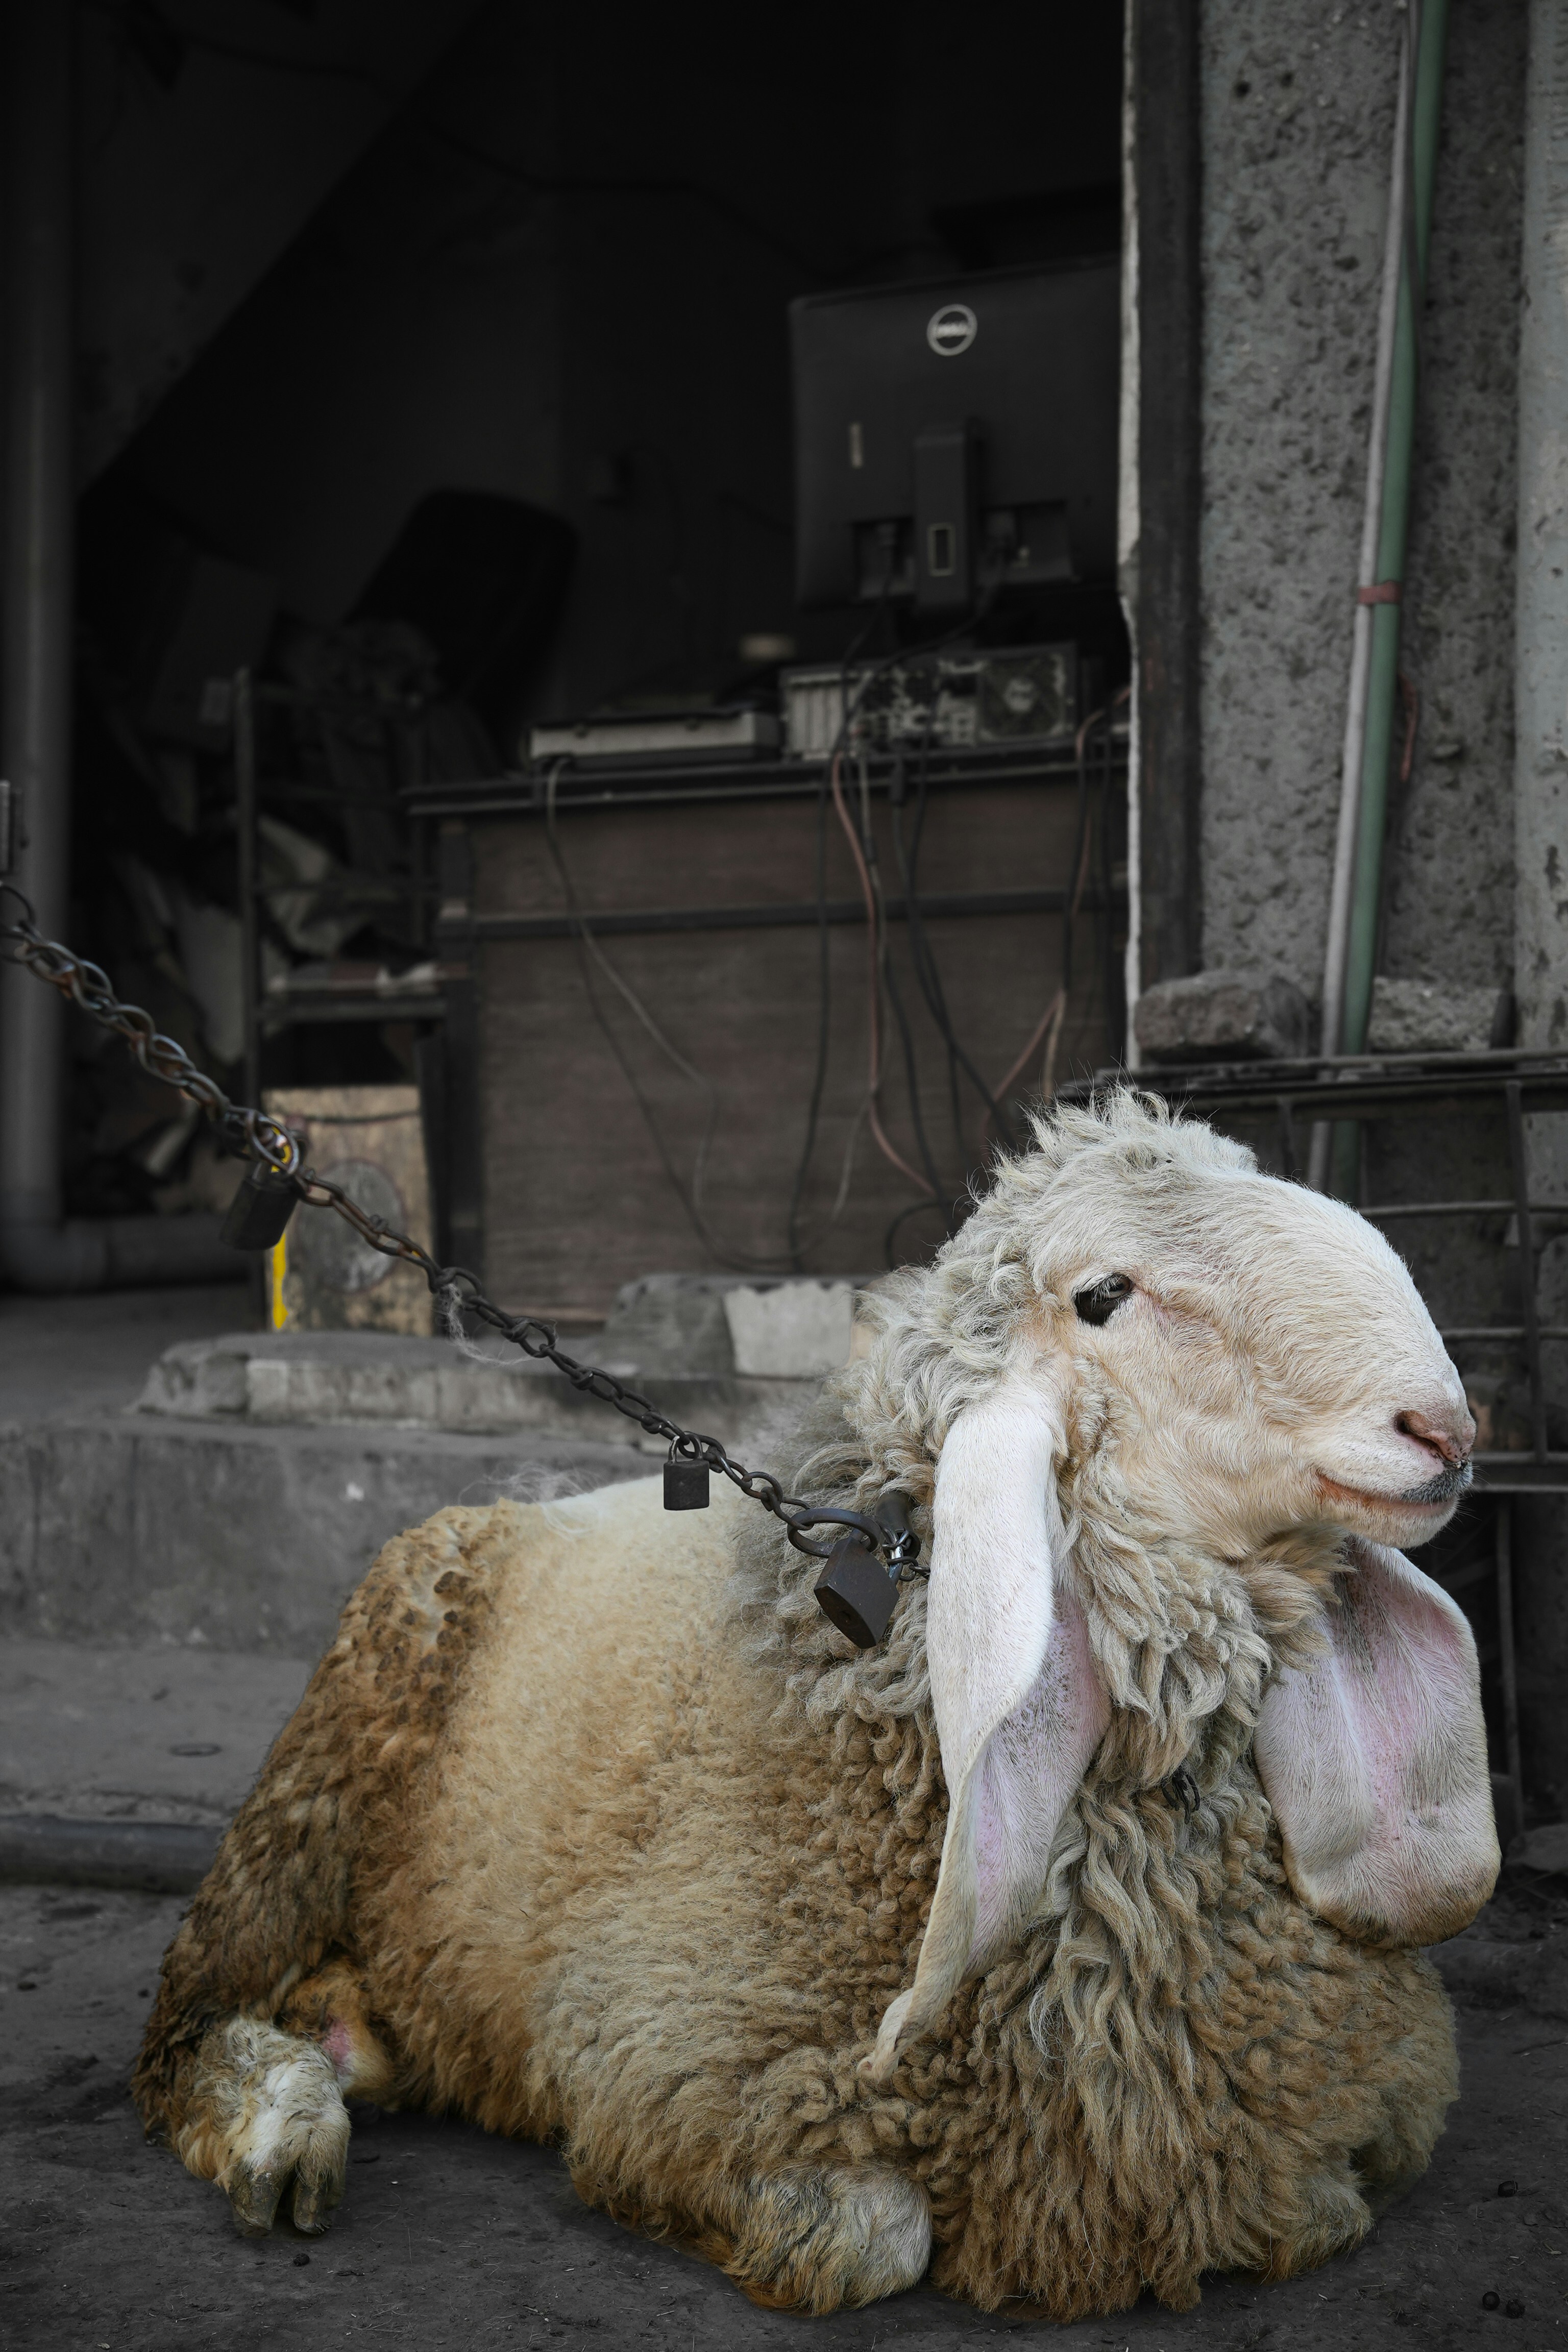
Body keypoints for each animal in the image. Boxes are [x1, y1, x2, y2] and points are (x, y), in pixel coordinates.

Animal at [132, 1092, 1498, 2319]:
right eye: (1104, 1294)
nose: (1443, 1427)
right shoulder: (666, 2061)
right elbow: (867, 2237)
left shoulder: (1355, 2099)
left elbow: (1333, 2195)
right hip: (317, 1788)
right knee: (184, 2022)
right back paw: (285, 2120)